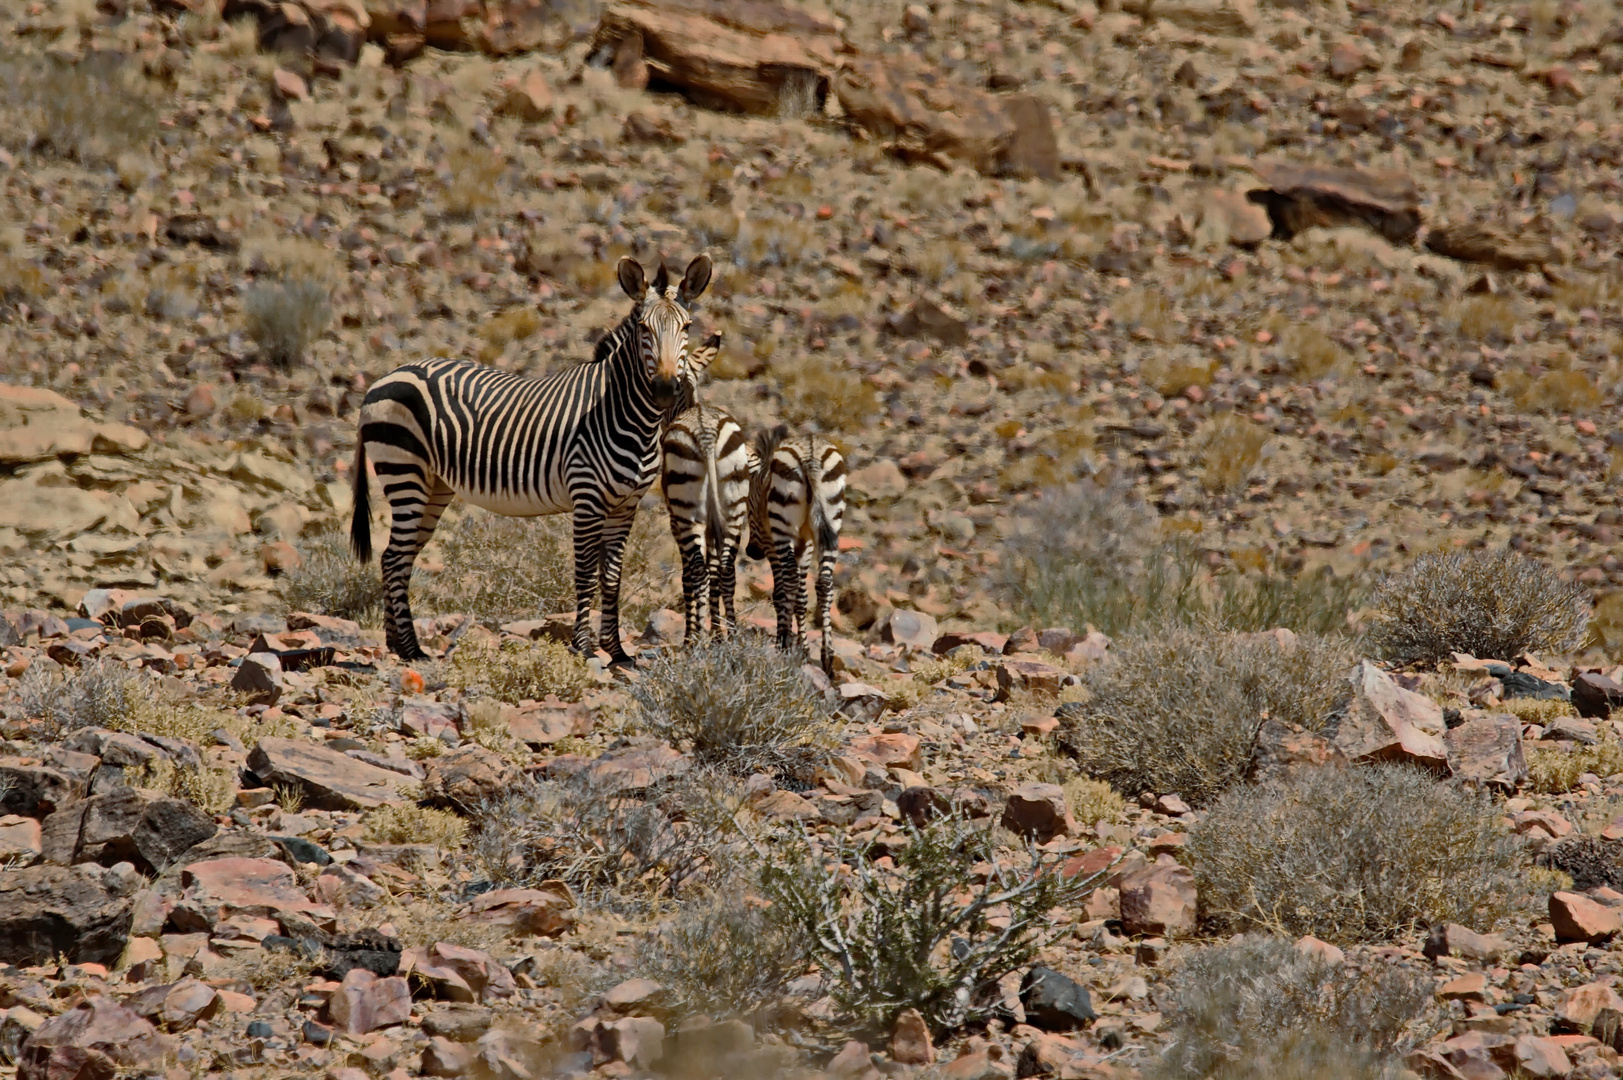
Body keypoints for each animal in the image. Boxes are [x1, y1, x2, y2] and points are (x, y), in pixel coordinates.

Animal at [349, 254, 713, 663]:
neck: (625, 413)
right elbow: (586, 574)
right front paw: (583, 648)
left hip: (433, 486)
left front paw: (616, 651)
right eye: (643, 329)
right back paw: (412, 650)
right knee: (396, 557)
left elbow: (612, 577)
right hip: (404, 471)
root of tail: (385, 377)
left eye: (687, 327)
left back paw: (396, 644)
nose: (665, 389)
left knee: (396, 558)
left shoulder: (625, 505)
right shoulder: (587, 498)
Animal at [660, 333, 752, 645]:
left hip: (687, 513)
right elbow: (713, 571)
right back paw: (732, 636)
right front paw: (716, 632)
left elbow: (690, 576)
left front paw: (696, 632)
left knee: (698, 570)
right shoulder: (713, 521)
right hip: (734, 507)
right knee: (726, 568)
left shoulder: (676, 521)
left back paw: (692, 642)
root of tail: (707, 433)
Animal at [745, 424, 847, 676]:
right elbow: (802, 595)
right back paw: (827, 657)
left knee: (790, 578)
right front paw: (804, 648)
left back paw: (784, 645)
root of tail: (810, 458)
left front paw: (789, 642)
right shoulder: (806, 540)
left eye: (749, 509)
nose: (751, 552)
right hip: (832, 522)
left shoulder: (773, 540)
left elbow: (781, 591)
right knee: (825, 583)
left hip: (783, 524)